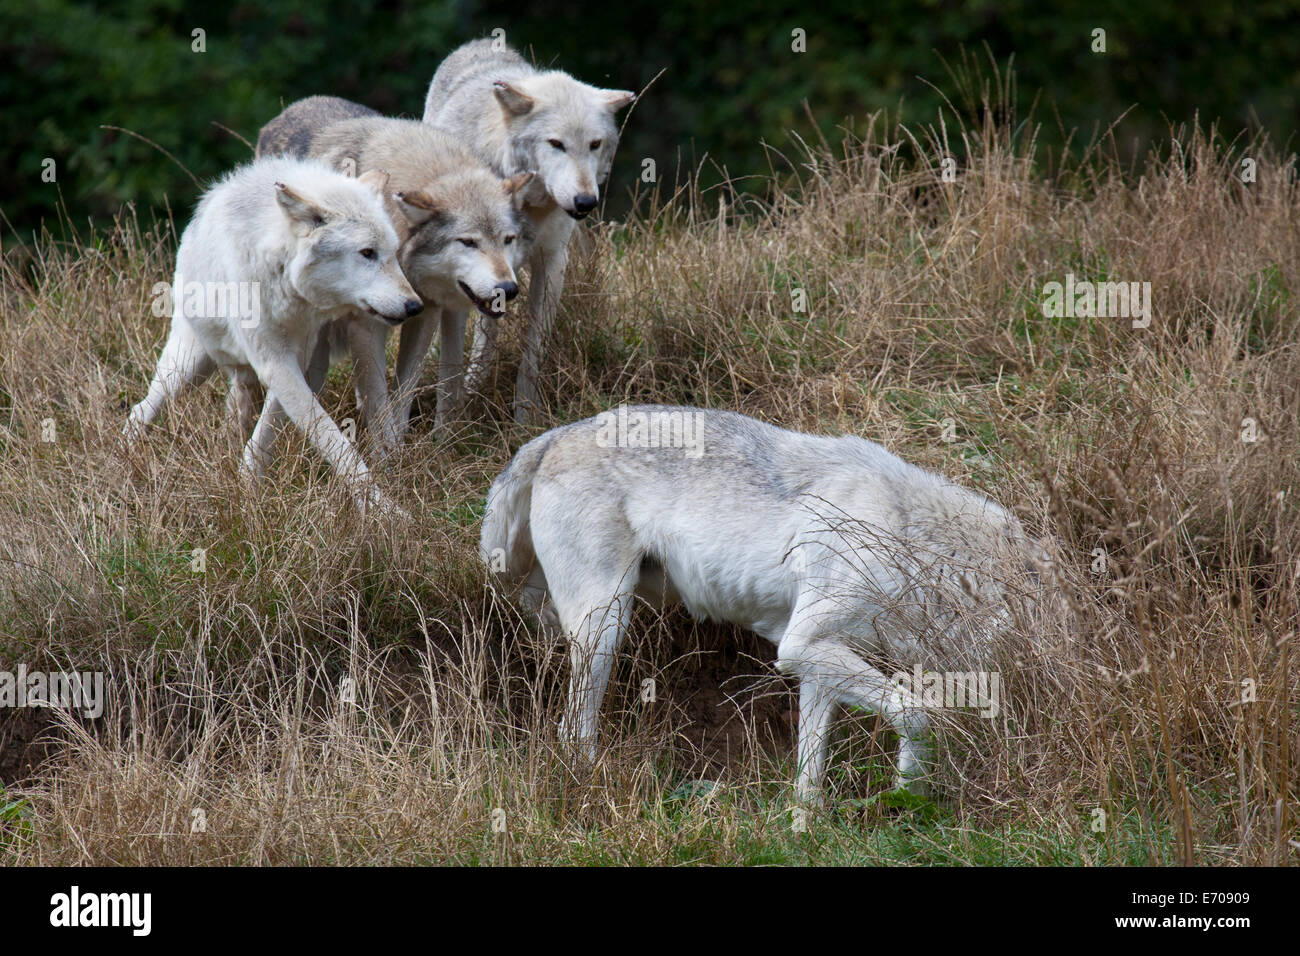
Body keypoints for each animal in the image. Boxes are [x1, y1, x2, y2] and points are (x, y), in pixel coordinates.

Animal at [124, 156, 420, 512]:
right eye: (367, 253)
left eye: (392, 252)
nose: (415, 305)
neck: (283, 278)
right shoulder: (275, 361)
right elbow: (331, 437)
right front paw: (383, 508)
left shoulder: (296, 358)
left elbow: (269, 430)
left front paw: (248, 482)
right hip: (189, 367)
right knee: (142, 408)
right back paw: (128, 455)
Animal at [257, 96, 533, 446]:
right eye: (468, 242)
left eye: (508, 240)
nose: (507, 289)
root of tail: (287, 112)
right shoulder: (365, 327)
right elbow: (379, 401)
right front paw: (389, 455)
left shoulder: (426, 313)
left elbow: (404, 391)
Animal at [424, 39, 635, 423]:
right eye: (556, 144)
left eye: (595, 144)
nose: (585, 202)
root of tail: (480, 43)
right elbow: (475, 345)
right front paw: (461, 403)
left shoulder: (552, 263)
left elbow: (533, 348)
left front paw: (524, 416)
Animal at [481, 406, 1050, 803]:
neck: (910, 542)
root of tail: (550, 438)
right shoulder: (801, 646)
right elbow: (919, 713)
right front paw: (909, 793)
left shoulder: (818, 662)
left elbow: (809, 769)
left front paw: (807, 824)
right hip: (606, 628)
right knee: (571, 732)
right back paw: (592, 781)